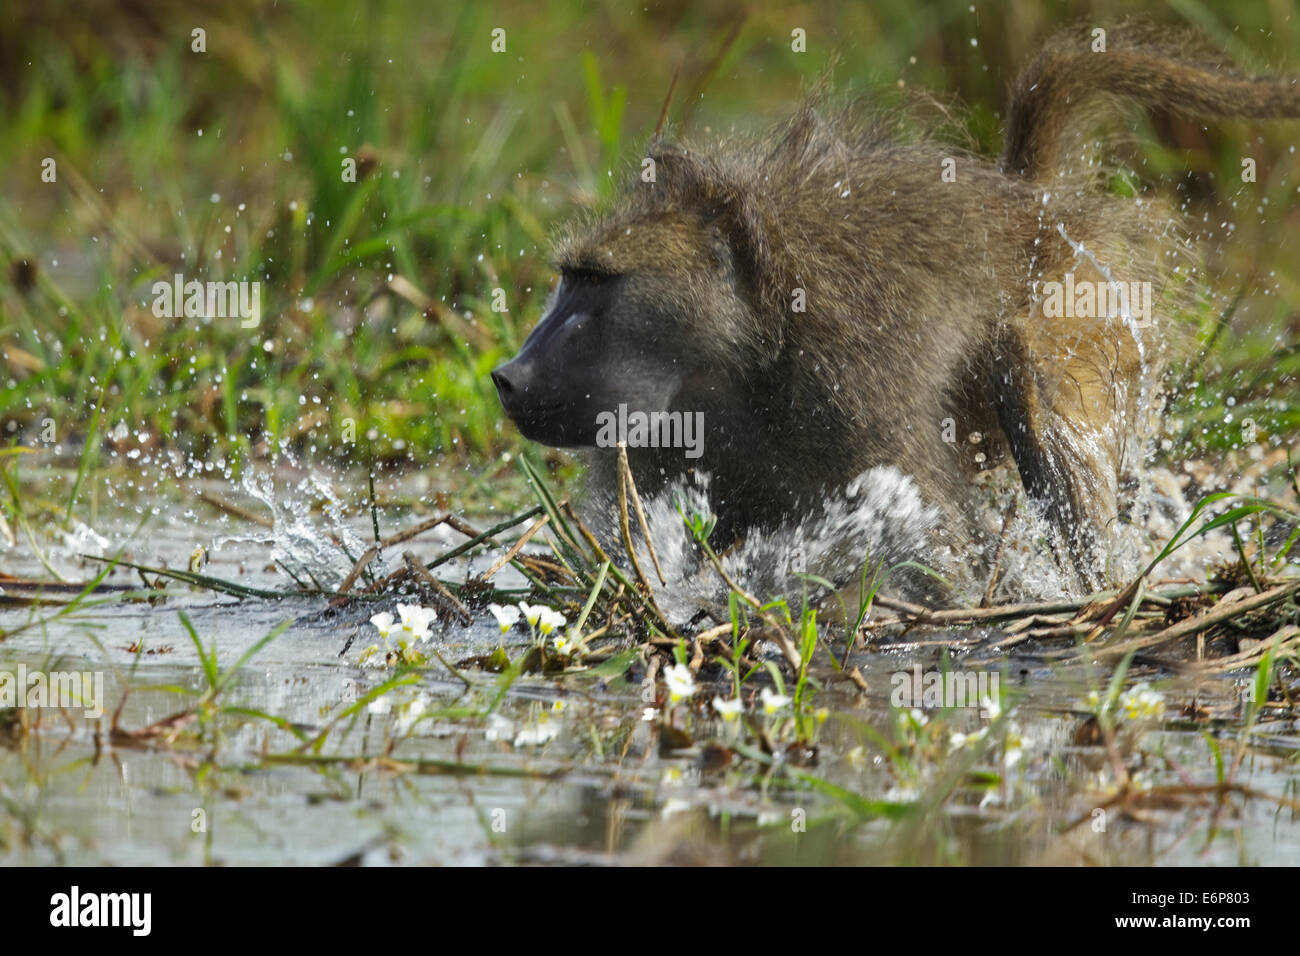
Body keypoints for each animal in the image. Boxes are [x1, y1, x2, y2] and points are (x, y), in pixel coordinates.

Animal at [492, 23, 1299, 595]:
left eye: (595, 284)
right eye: (568, 279)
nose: (508, 376)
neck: (742, 349)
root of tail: (1032, 205)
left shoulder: (852, 385)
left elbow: (939, 552)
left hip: (1075, 299)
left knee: (1038, 404)